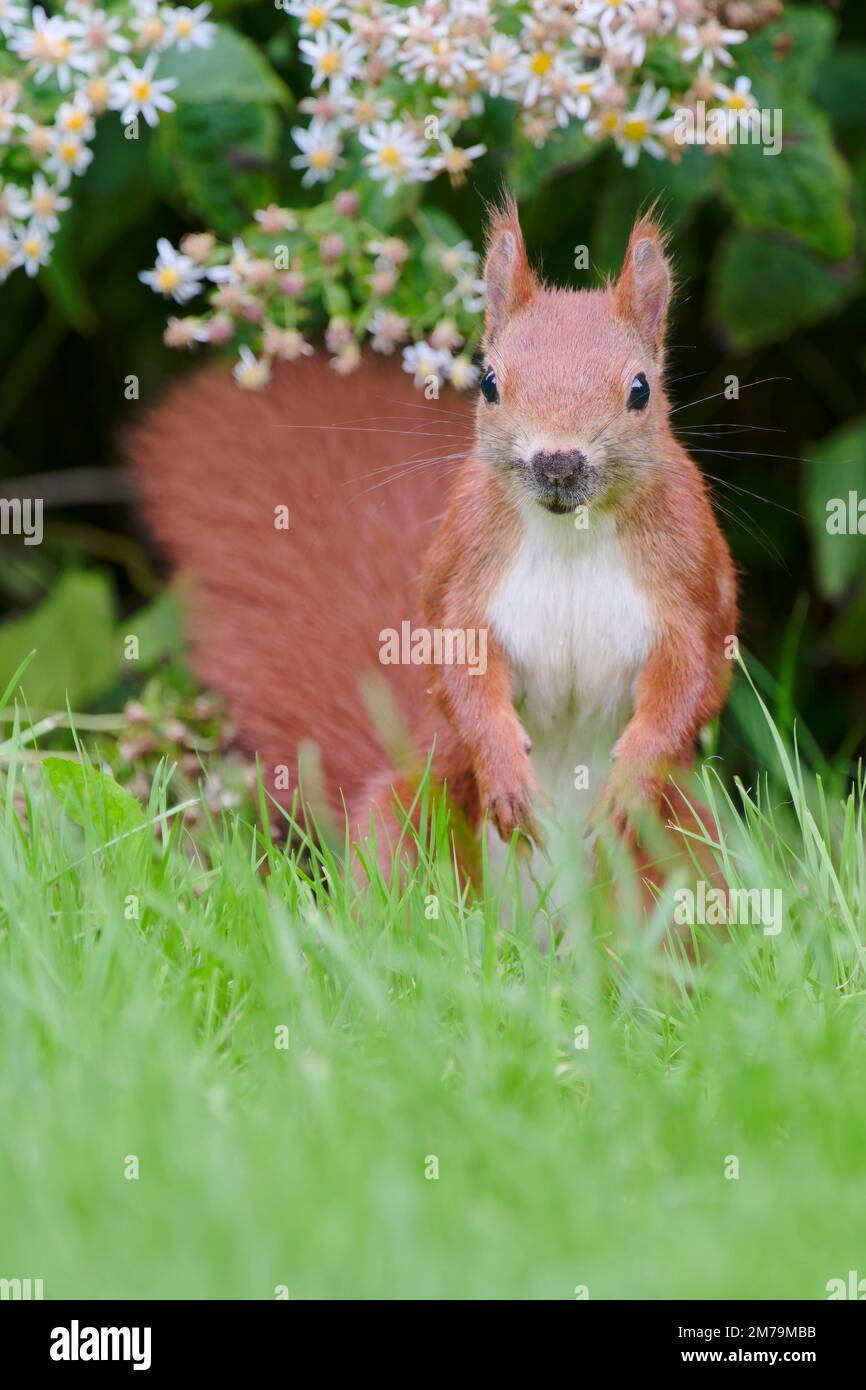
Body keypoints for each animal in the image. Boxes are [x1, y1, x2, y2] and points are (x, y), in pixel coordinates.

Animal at [130, 198, 737, 887]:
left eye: (640, 389)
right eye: (489, 382)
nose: (557, 461)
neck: (569, 533)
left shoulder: (691, 577)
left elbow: (693, 680)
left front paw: (630, 783)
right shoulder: (462, 566)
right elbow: (456, 671)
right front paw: (505, 771)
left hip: (686, 851)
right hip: (409, 810)